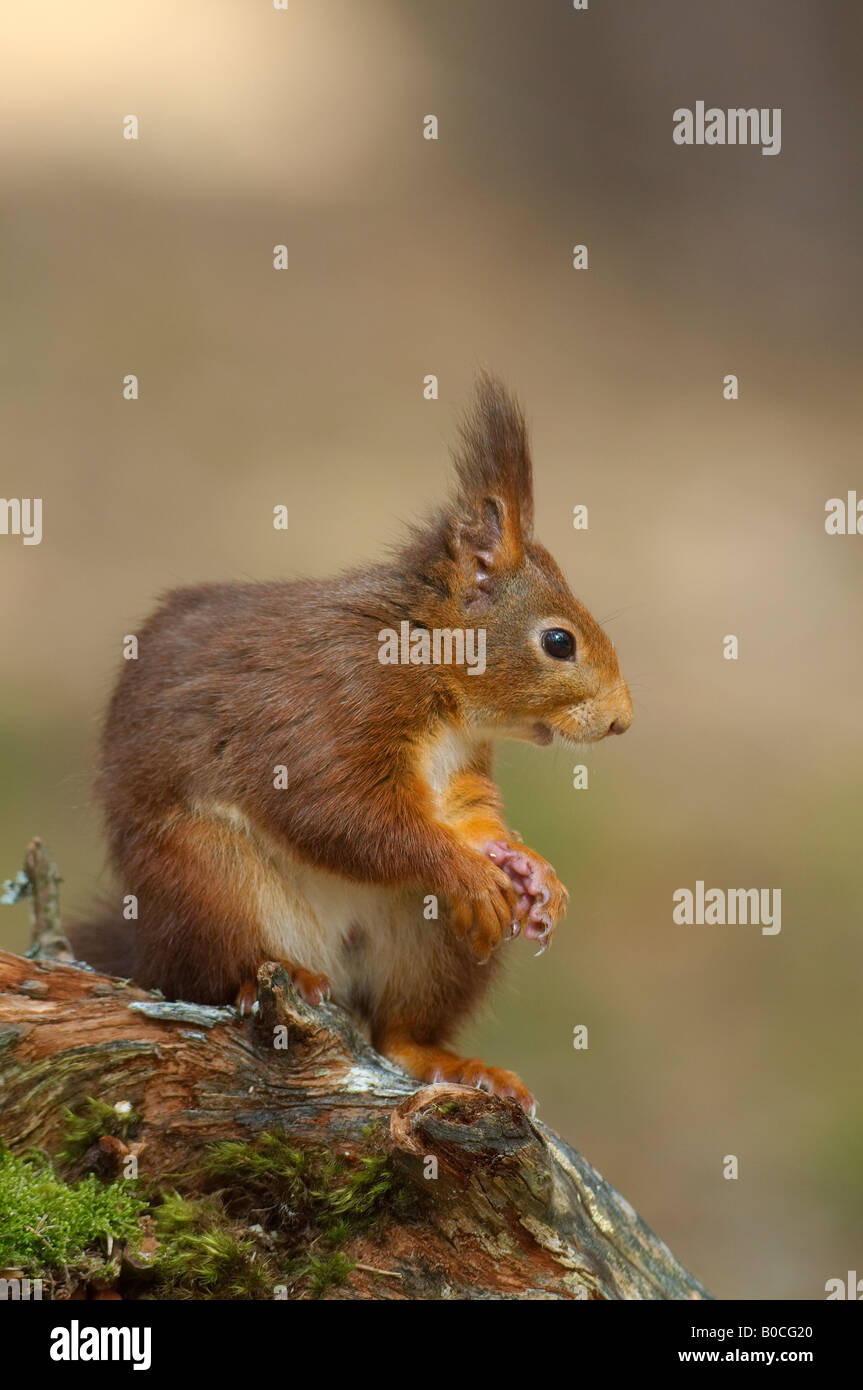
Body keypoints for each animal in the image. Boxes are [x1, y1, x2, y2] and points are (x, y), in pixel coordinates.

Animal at [85, 375, 632, 1112]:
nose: (622, 720)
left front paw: (527, 867)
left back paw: (453, 1062)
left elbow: (467, 811)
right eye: (558, 642)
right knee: (213, 973)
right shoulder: (333, 711)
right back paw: (281, 973)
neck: (430, 669)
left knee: (398, 1030)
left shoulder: (460, 765)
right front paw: (467, 869)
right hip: (205, 879)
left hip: (435, 946)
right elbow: (343, 814)